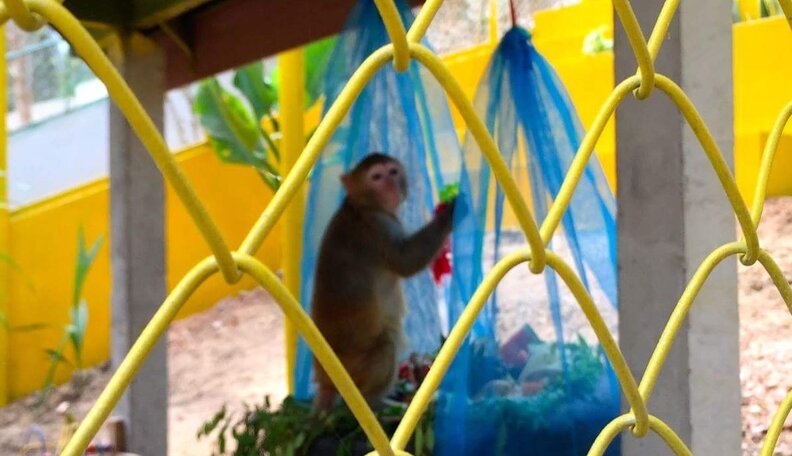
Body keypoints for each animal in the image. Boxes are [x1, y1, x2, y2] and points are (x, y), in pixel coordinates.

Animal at [310, 152, 460, 411]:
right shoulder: (380, 225)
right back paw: (378, 402)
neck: (361, 205)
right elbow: (405, 262)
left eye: (392, 172)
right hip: (357, 372)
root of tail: (327, 381)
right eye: (377, 177)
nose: (391, 185)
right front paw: (450, 212)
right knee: (387, 344)